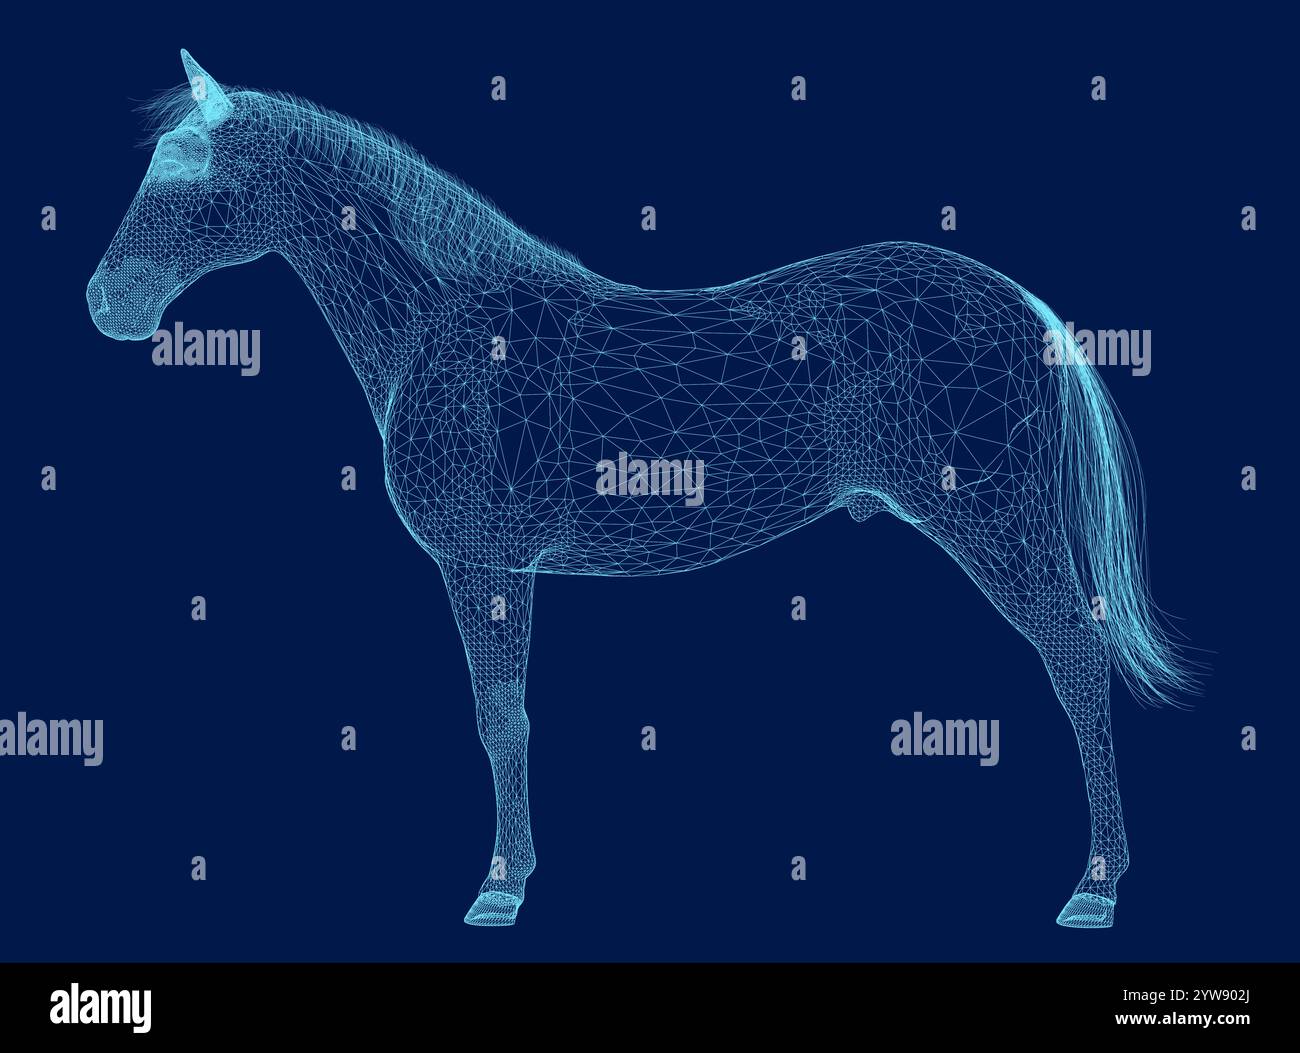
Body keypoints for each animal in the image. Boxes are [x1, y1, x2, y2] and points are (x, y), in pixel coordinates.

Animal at [88, 51, 1196, 928]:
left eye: (188, 166)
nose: (106, 302)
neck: (444, 325)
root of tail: (1019, 304)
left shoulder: (486, 565)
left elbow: (500, 719)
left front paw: (501, 887)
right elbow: (504, 718)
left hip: (998, 526)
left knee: (1077, 664)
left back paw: (1094, 888)